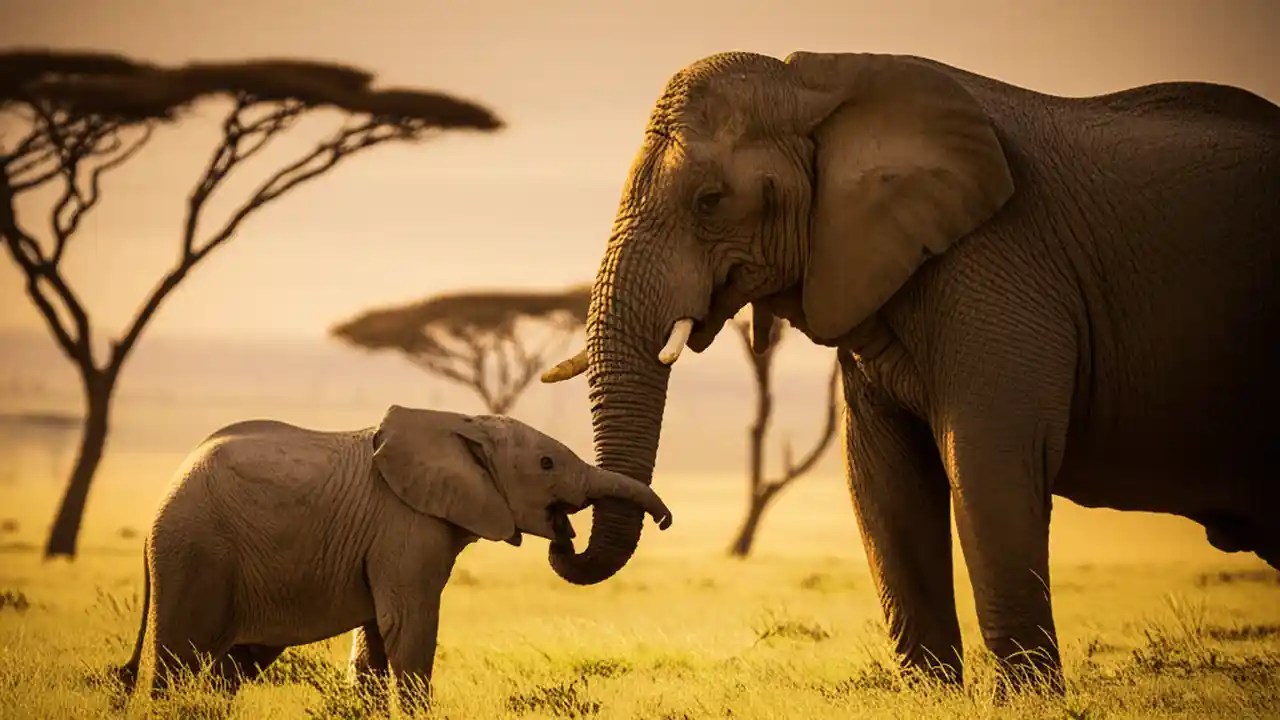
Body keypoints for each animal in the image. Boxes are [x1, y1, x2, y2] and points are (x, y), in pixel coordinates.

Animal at [114, 404, 672, 710]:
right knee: (177, 660)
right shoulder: (405, 526)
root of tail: (159, 505)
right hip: (196, 553)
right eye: (547, 463)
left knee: (232, 667)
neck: (463, 424)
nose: (666, 521)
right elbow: (409, 625)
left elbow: (377, 638)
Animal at [541, 50, 1279, 690]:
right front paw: (933, 697)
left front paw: (1026, 703)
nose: (560, 528)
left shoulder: (999, 263)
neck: (818, 84)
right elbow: (881, 480)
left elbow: (988, 466)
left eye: (710, 199)